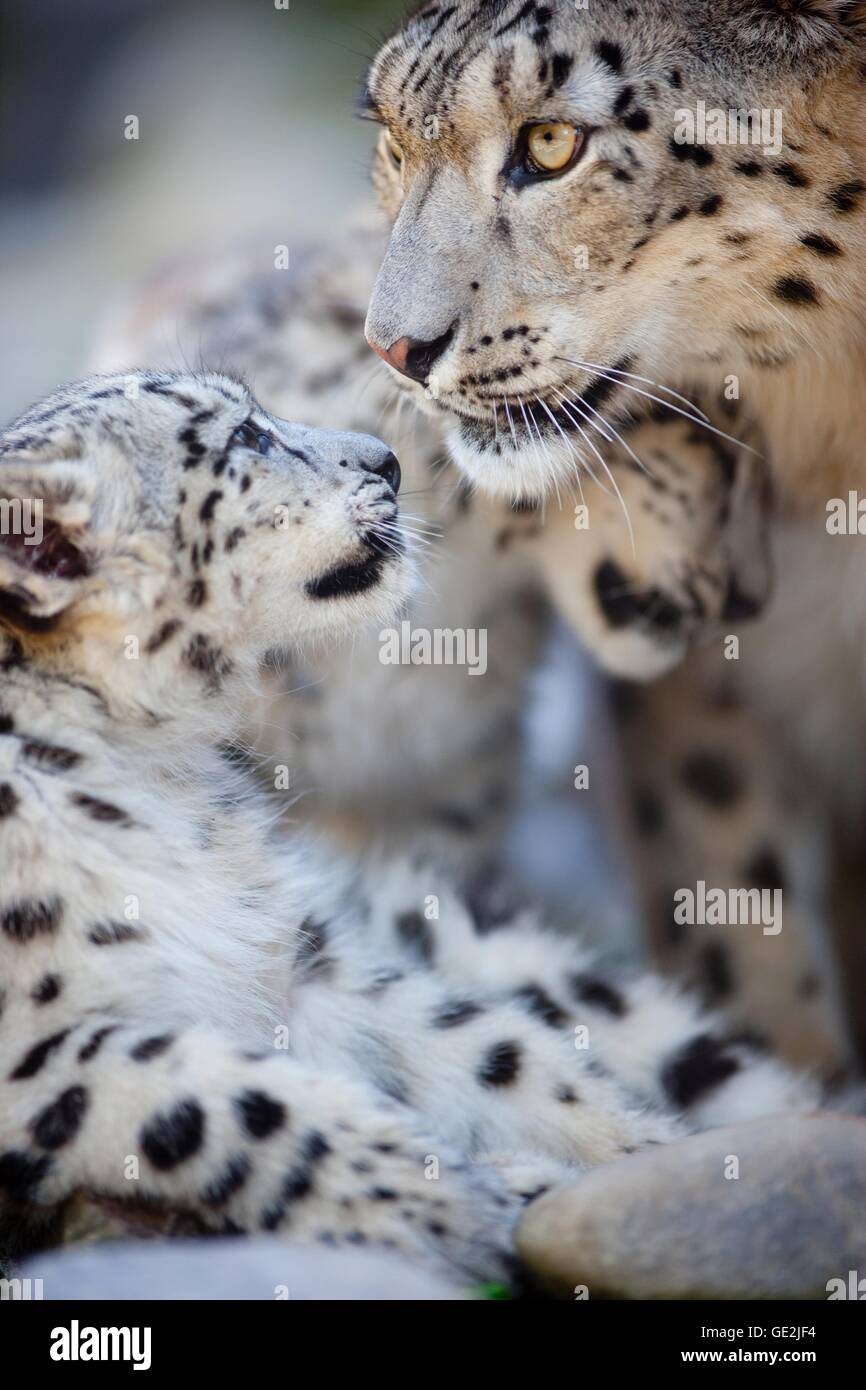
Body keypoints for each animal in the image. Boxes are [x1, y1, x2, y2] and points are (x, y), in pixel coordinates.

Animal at [0, 369, 816, 1286]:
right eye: (244, 438)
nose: (385, 458)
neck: (159, 772)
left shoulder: (305, 963)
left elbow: (492, 1051)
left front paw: (636, 1153)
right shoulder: (37, 1052)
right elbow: (236, 1099)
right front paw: (449, 1202)